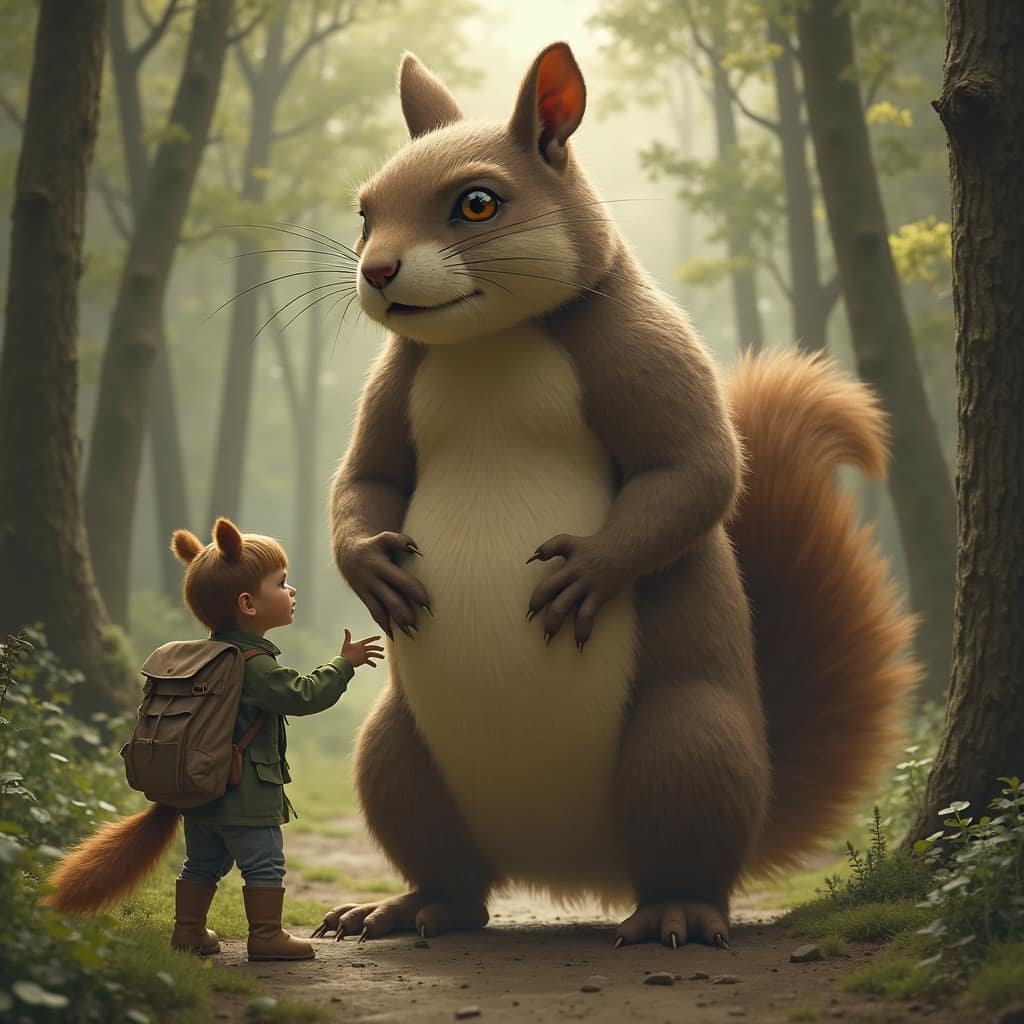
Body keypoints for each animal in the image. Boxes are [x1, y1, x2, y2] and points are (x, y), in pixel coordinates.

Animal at [315, 42, 920, 948]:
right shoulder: (395, 382)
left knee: (688, 857)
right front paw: (373, 572)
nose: (378, 270)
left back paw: (676, 912)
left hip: (688, 743)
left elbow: (698, 470)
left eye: (477, 203)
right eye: (364, 212)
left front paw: (586, 572)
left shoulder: (641, 345)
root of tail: (571, 872)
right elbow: (364, 481)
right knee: (456, 879)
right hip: (395, 755)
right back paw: (408, 907)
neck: (488, 343)